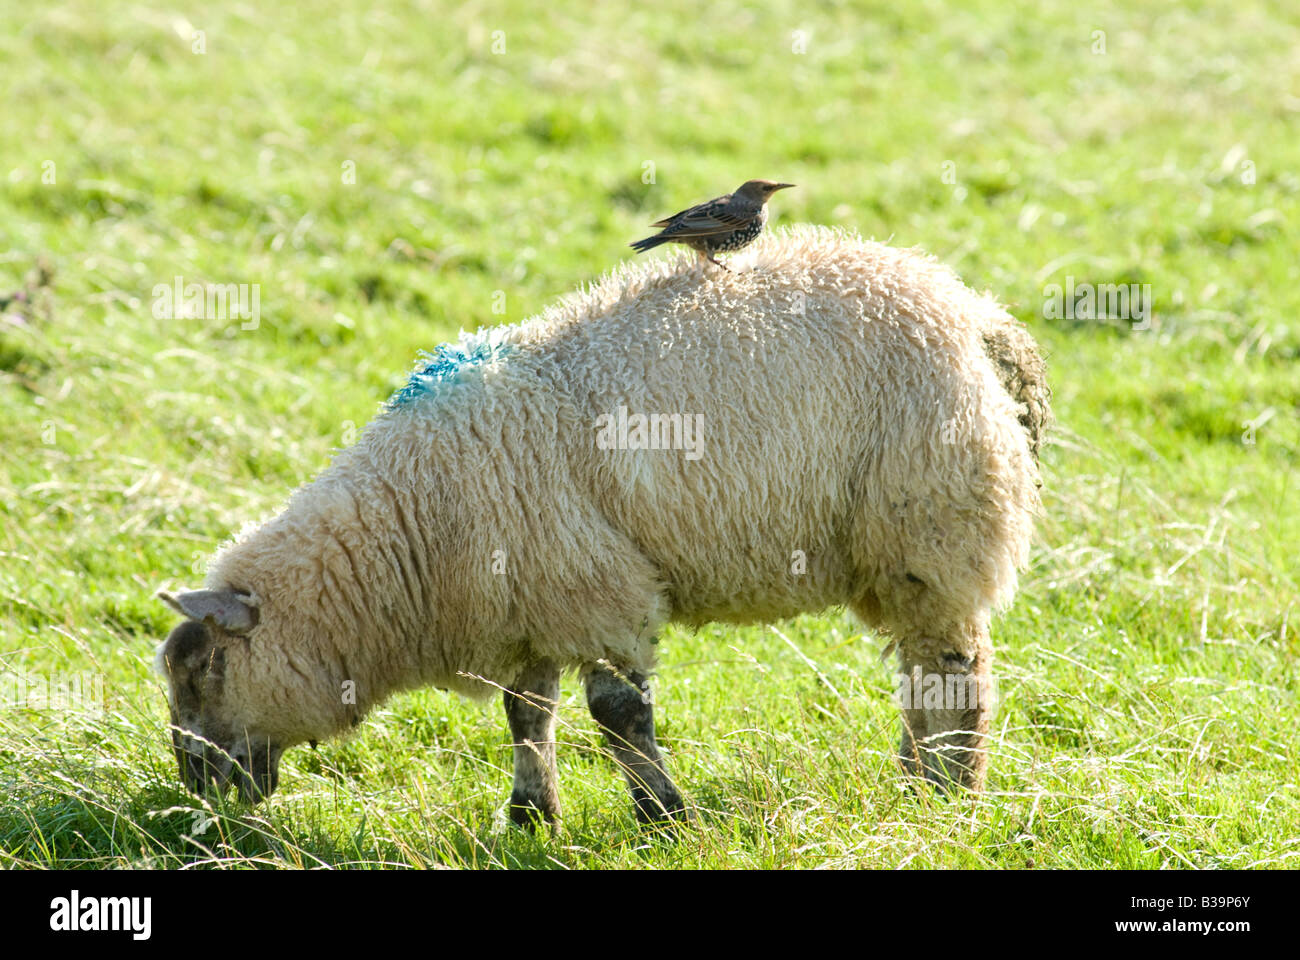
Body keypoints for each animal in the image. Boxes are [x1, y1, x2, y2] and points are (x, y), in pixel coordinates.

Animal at [155, 226, 1050, 826]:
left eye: (207, 672)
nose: (196, 788)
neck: (408, 528)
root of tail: (974, 313)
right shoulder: (530, 601)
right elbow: (527, 714)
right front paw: (530, 816)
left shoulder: (594, 592)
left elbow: (617, 714)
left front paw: (666, 817)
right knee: (925, 669)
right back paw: (917, 780)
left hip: (930, 525)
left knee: (953, 670)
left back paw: (948, 792)